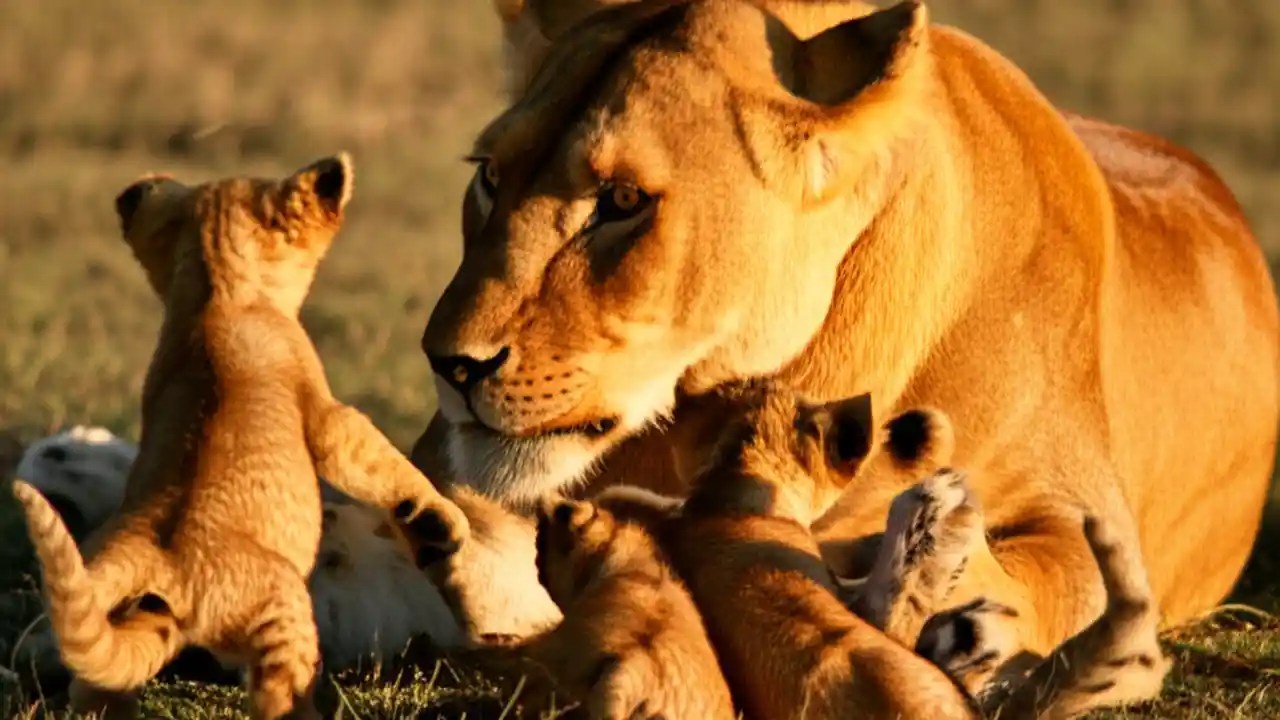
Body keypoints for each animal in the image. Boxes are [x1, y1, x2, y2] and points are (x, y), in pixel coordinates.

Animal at [11, 154, 469, 720]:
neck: (217, 293)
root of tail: (160, 560)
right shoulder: (323, 412)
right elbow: (374, 457)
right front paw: (441, 522)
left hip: (123, 614)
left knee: (99, 670)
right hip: (282, 602)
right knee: (279, 688)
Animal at [410, 0, 1280, 692]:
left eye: (622, 199)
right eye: (490, 175)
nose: (451, 364)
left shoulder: (1078, 500)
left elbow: (1076, 578)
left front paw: (953, 589)